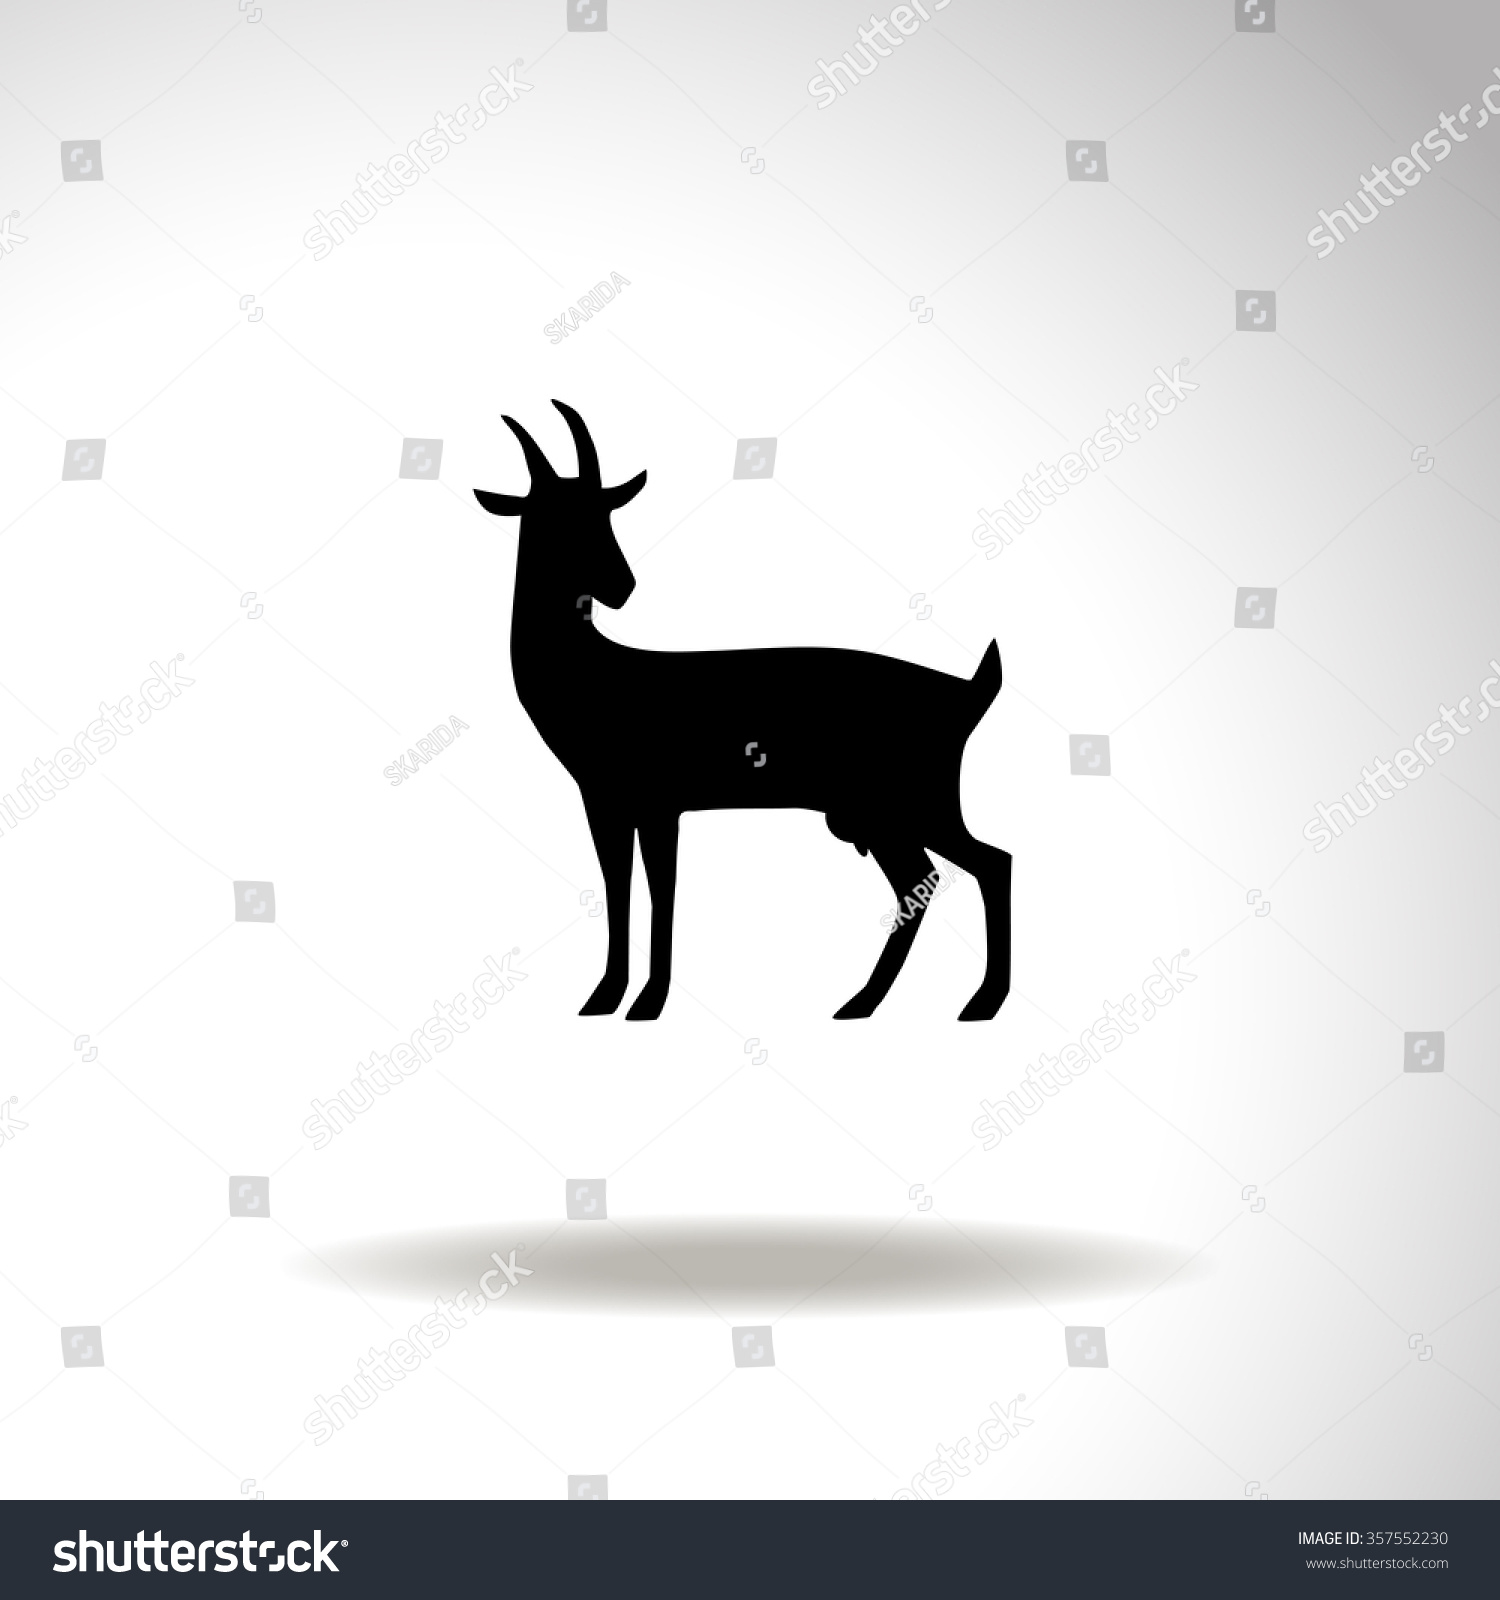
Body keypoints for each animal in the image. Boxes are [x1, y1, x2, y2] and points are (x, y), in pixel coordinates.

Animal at [474, 401, 1010, 1021]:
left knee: (990, 864)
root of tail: (967, 692)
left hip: (918, 805)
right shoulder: (606, 802)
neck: (595, 674)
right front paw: (604, 997)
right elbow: (618, 886)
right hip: (885, 817)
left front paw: (646, 1002)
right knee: (920, 882)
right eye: (554, 518)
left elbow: (661, 891)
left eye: (605, 513)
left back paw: (979, 1003)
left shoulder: (657, 804)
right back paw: (861, 1003)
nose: (622, 585)